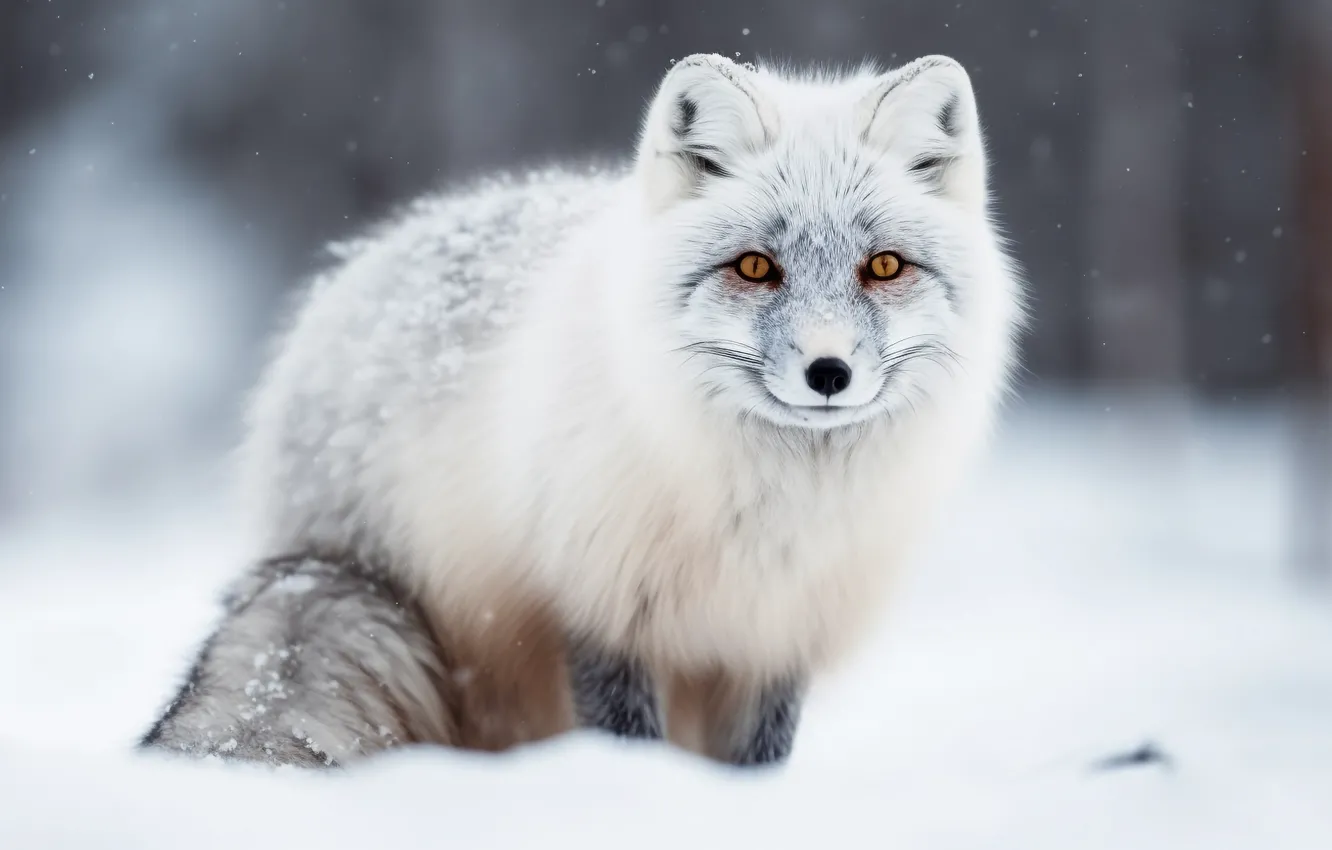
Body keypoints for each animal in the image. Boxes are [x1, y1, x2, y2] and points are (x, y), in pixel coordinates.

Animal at [141, 53, 1022, 768]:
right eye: (754, 268)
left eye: (884, 267)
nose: (828, 372)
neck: (768, 518)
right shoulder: (601, 608)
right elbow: (627, 741)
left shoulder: (769, 640)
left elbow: (758, 764)